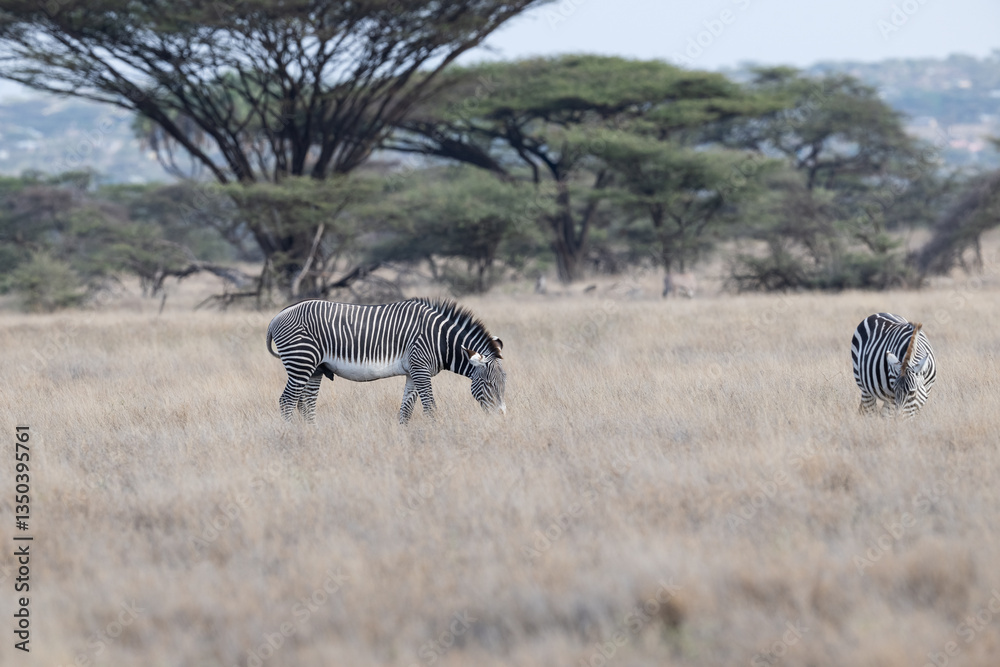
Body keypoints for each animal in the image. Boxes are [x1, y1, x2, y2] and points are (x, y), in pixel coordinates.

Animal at [266, 298, 506, 423]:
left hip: (315, 368)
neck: (440, 339)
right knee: (287, 401)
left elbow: (406, 411)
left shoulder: (413, 372)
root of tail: (277, 316)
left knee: (306, 404)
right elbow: (430, 408)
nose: (502, 418)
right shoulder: (420, 368)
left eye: (504, 385)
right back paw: (293, 435)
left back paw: (312, 434)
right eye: (488, 384)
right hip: (301, 362)